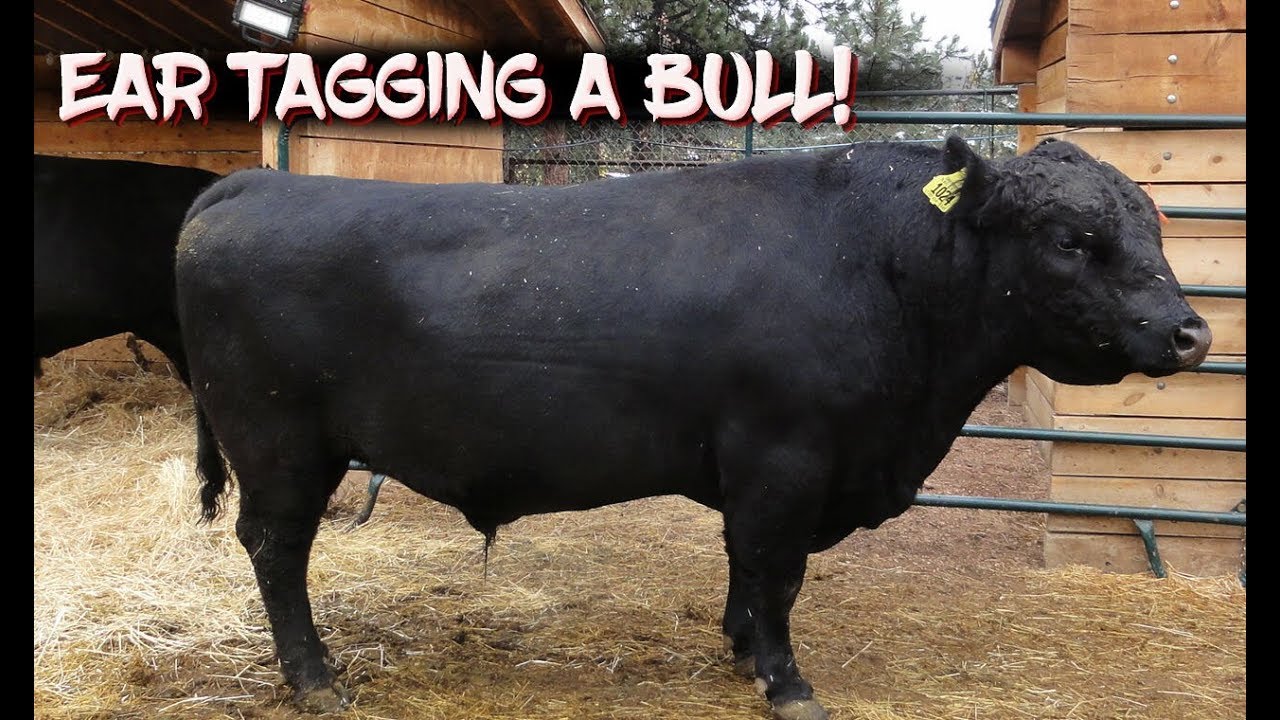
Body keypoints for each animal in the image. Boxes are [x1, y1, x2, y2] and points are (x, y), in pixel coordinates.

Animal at [175, 136, 1211, 720]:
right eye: (1072, 240)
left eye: (1154, 225)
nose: (1190, 332)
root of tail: (249, 186)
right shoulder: (788, 458)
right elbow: (777, 572)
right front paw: (786, 683)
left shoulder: (765, 471)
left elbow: (744, 569)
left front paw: (741, 646)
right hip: (278, 445)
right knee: (276, 549)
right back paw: (316, 679)